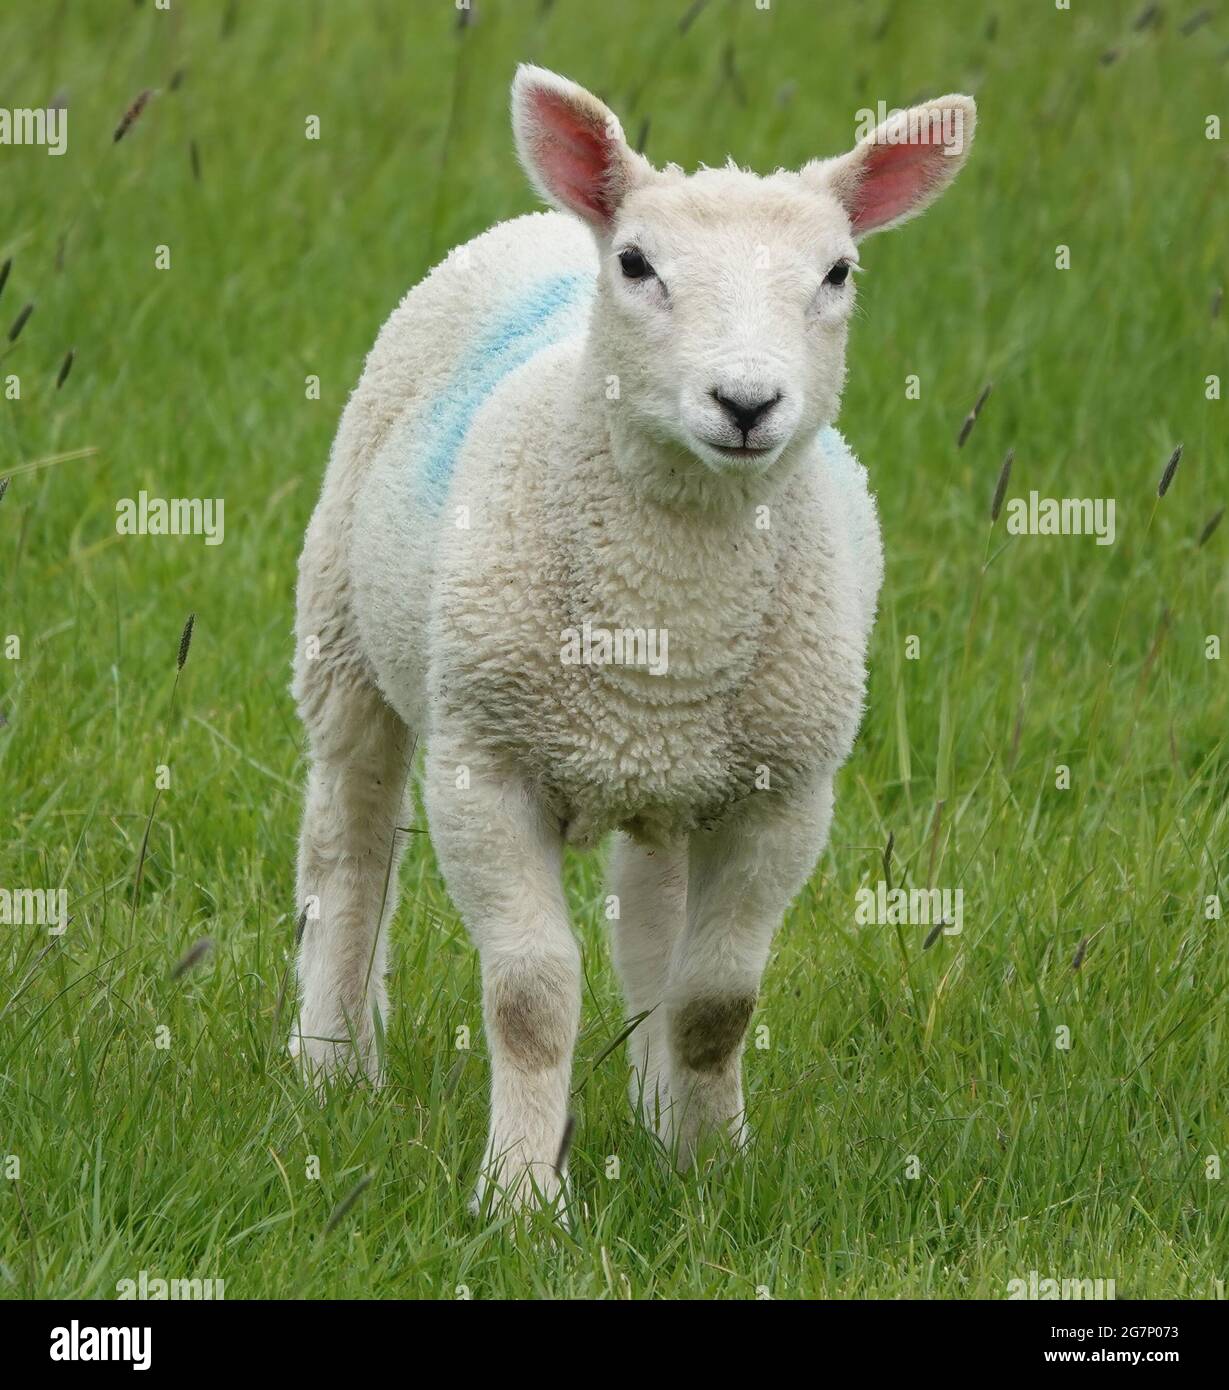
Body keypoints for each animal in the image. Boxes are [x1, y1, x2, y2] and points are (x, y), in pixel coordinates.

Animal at [291, 64, 976, 1215]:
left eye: (837, 272)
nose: (745, 401)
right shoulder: (484, 768)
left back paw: (659, 1112)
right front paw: (520, 1198)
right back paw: (330, 1065)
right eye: (638, 265)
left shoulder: (784, 795)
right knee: (347, 849)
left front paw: (710, 1167)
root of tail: (541, 221)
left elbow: (715, 1001)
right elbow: (528, 998)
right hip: (344, 632)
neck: (669, 604)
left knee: (650, 923)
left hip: (678, 781)